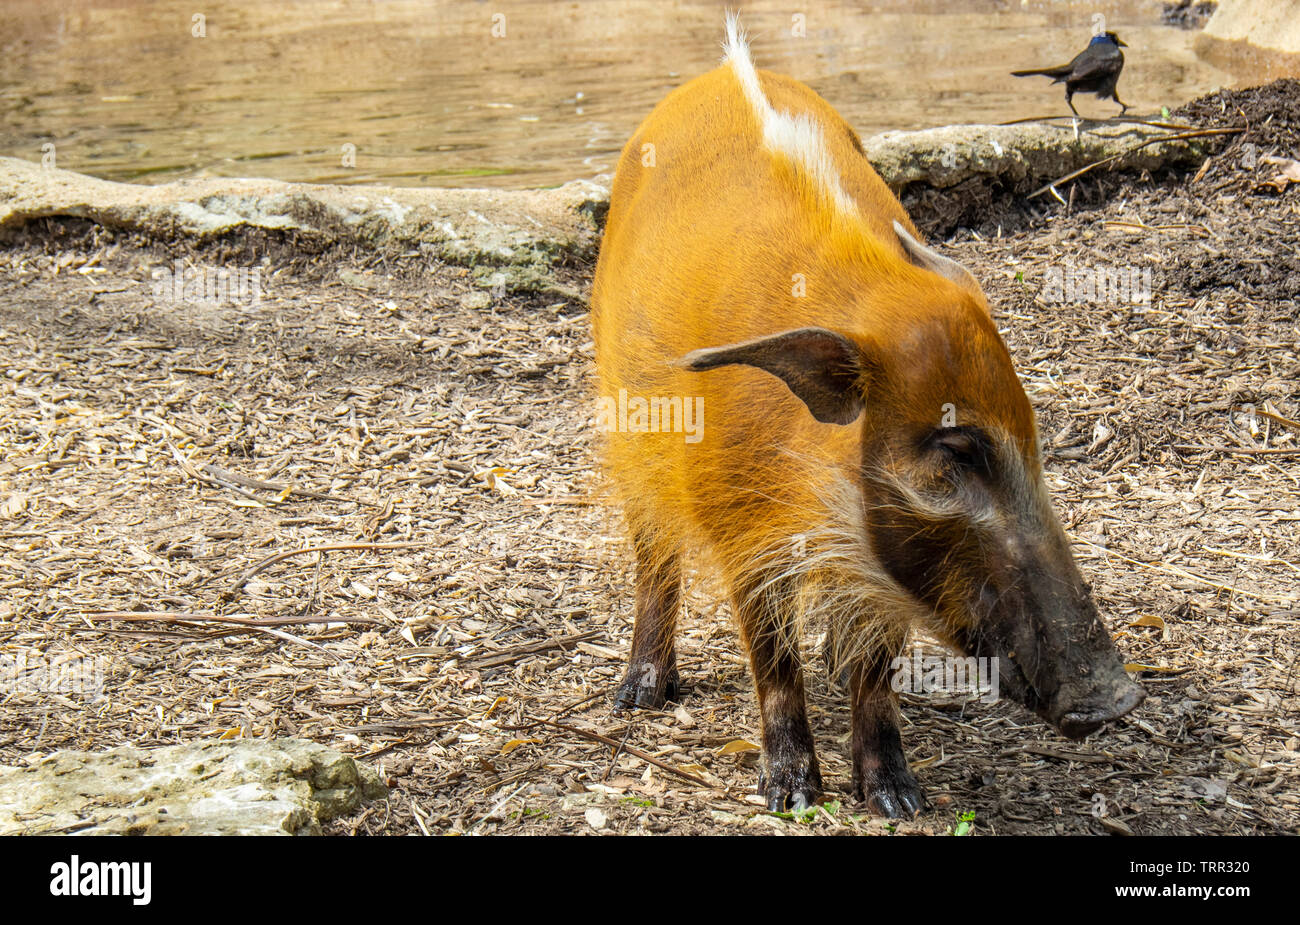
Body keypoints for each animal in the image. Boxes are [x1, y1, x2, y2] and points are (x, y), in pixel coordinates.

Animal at [589, 14, 1144, 816]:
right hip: (631, 431)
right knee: (653, 559)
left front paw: (898, 799)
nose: (1118, 700)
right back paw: (640, 692)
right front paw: (793, 794)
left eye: (1034, 438)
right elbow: (771, 656)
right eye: (954, 450)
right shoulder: (739, 526)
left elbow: (876, 663)